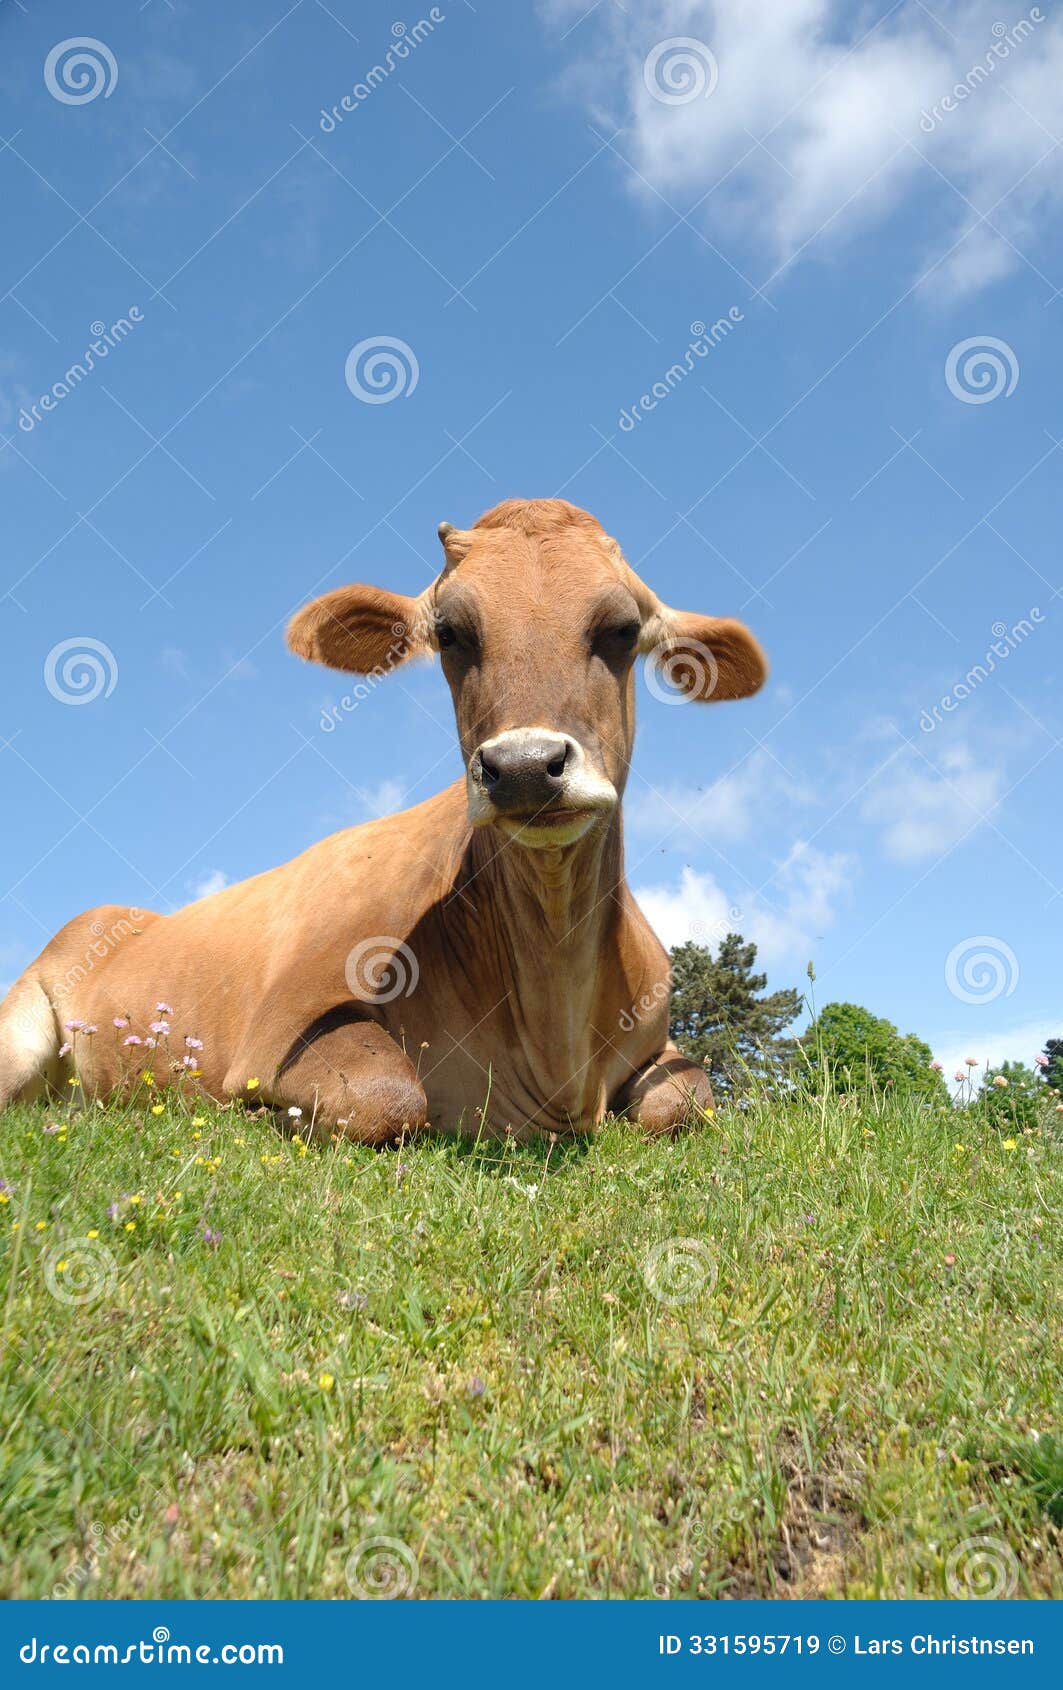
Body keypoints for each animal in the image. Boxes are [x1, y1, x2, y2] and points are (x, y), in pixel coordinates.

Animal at [0, 498, 766, 1141]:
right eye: (452, 634)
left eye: (622, 630)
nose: (523, 765)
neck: (557, 1053)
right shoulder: (283, 1029)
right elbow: (385, 1094)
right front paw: (252, 1114)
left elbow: (685, 1098)